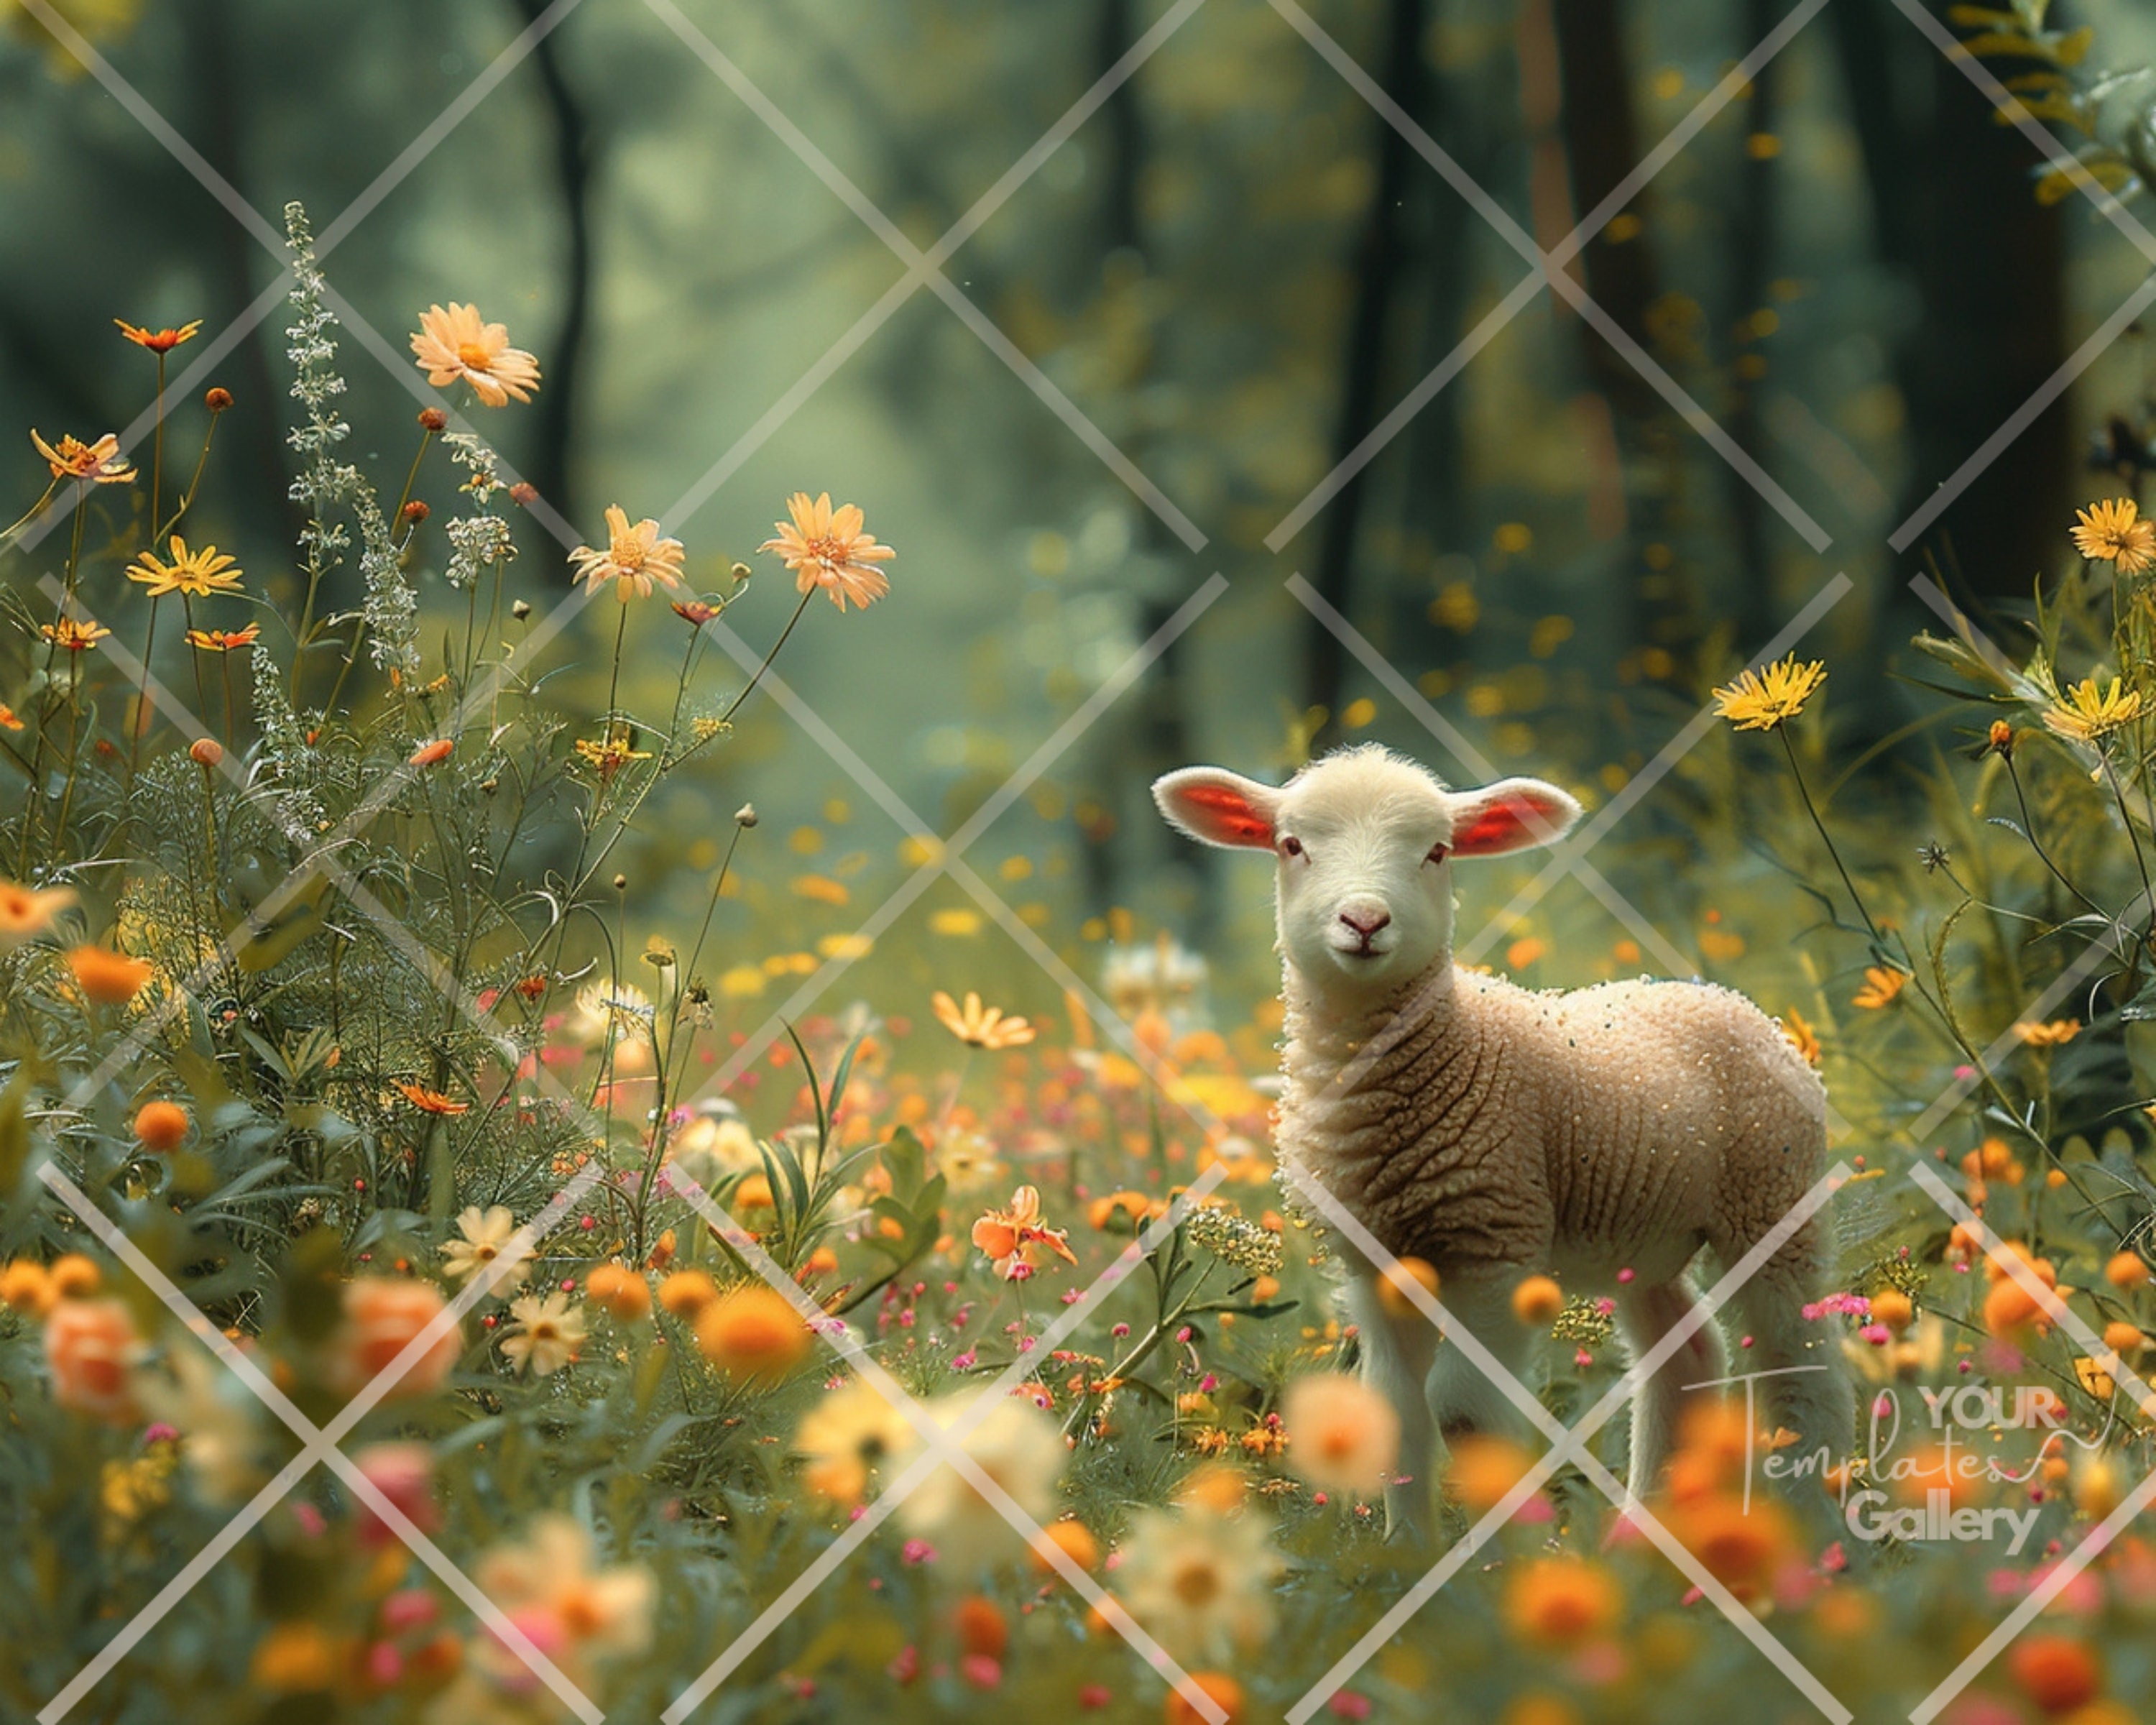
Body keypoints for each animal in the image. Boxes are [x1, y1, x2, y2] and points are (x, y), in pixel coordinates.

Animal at [1153, 743, 1850, 1525]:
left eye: (1437, 851)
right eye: (1292, 845)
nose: (1364, 920)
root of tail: (1728, 999)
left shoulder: (1495, 1240)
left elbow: (1463, 1414)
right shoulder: (1374, 1259)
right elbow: (1396, 1413)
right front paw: (1408, 1553)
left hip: (1775, 1201)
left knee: (1803, 1364)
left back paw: (1812, 1530)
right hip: (1646, 1237)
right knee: (1688, 1353)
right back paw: (1641, 1533)